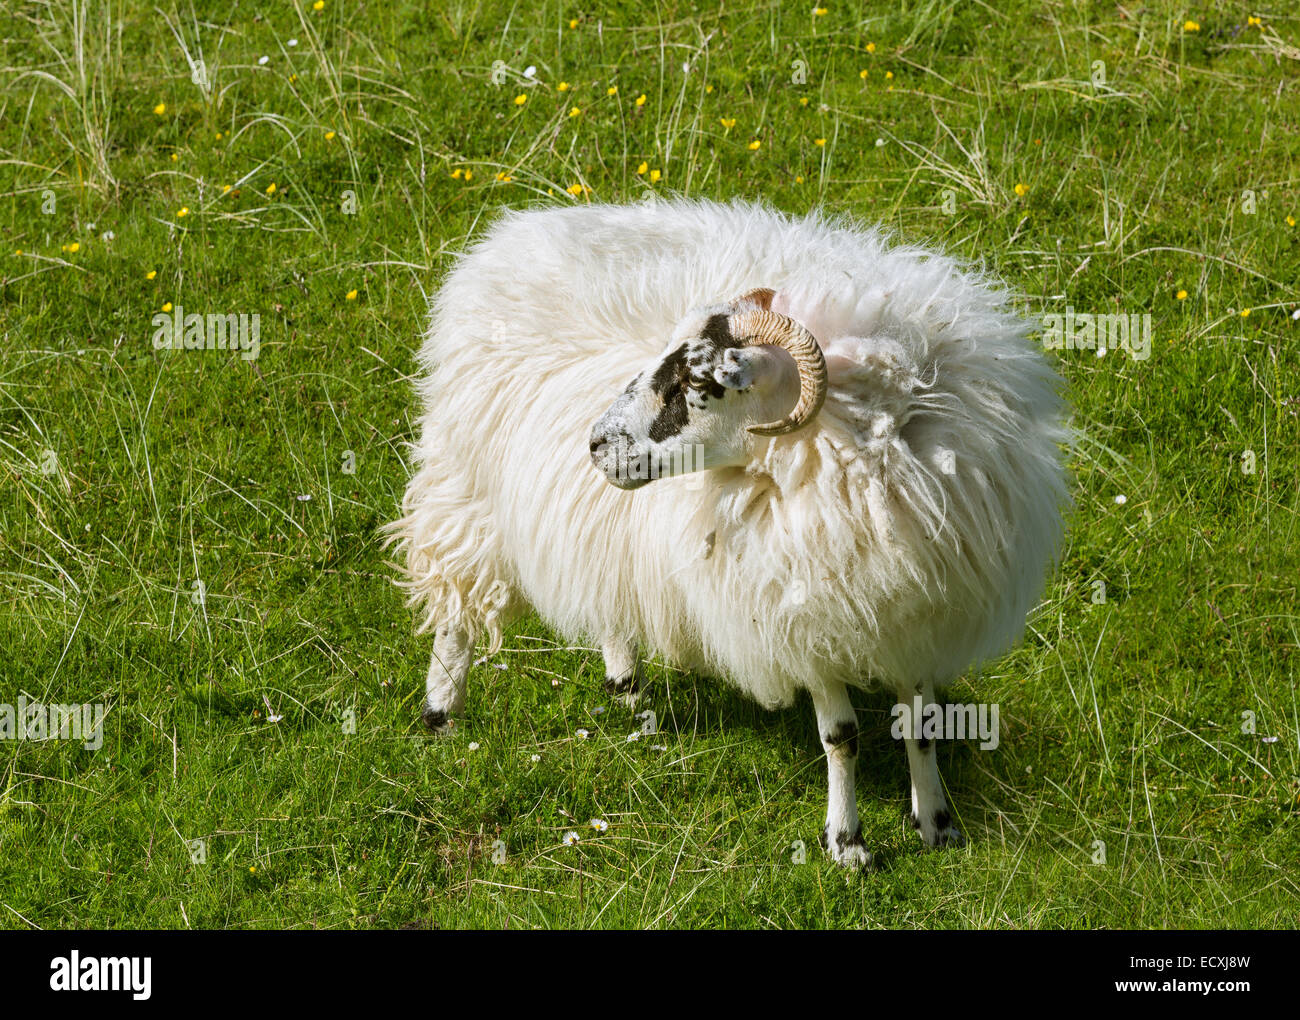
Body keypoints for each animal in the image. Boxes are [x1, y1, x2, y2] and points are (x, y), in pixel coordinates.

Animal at [386, 197, 1069, 868]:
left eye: (697, 381)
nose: (596, 443)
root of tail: (512, 232)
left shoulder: (916, 617)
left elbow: (922, 726)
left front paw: (937, 825)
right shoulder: (806, 620)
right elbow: (841, 737)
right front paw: (848, 845)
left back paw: (626, 692)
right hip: (467, 490)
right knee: (455, 601)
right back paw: (442, 712)